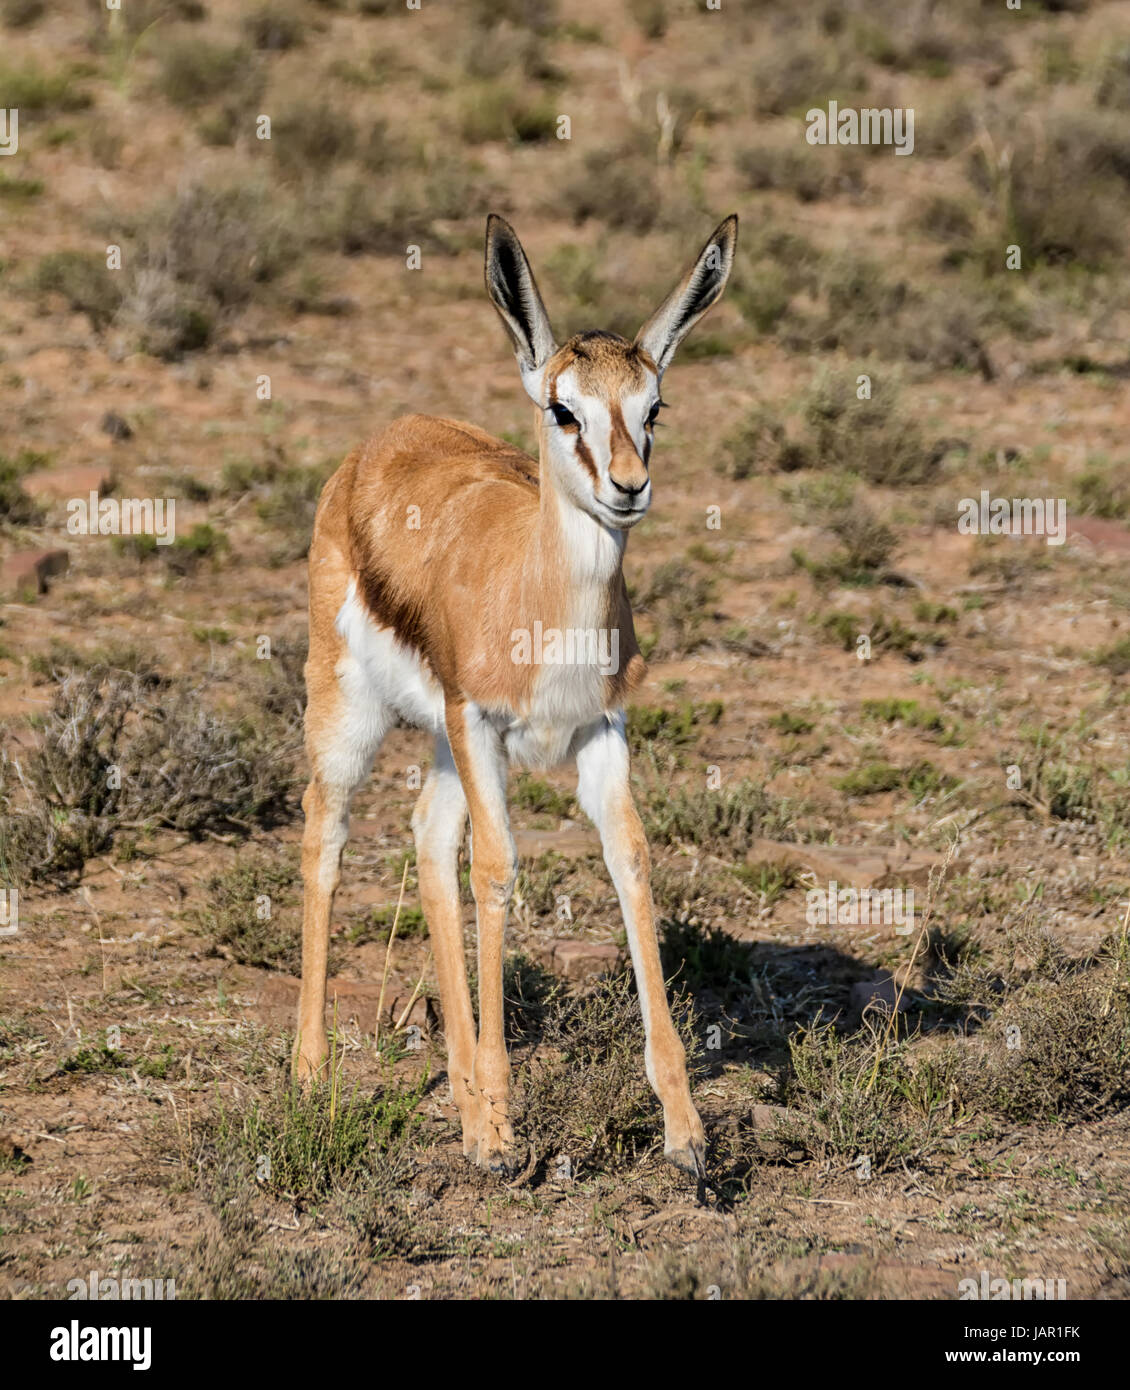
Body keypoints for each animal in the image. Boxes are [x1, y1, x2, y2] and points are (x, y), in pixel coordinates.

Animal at [294, 212, 738, 1177]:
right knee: (327, 837)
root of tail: (387, 438)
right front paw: (500, 1136)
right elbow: (496, 871)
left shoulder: (600, 732)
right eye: (563, 409)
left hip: (441, 743)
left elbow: (631, 859)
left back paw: (459, 1097)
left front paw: (686, 1136)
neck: (542, 603)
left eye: (654, 408)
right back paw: (311, 1076)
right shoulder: (483, 724)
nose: (629, 487)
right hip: (353, 719)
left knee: (427, 837)